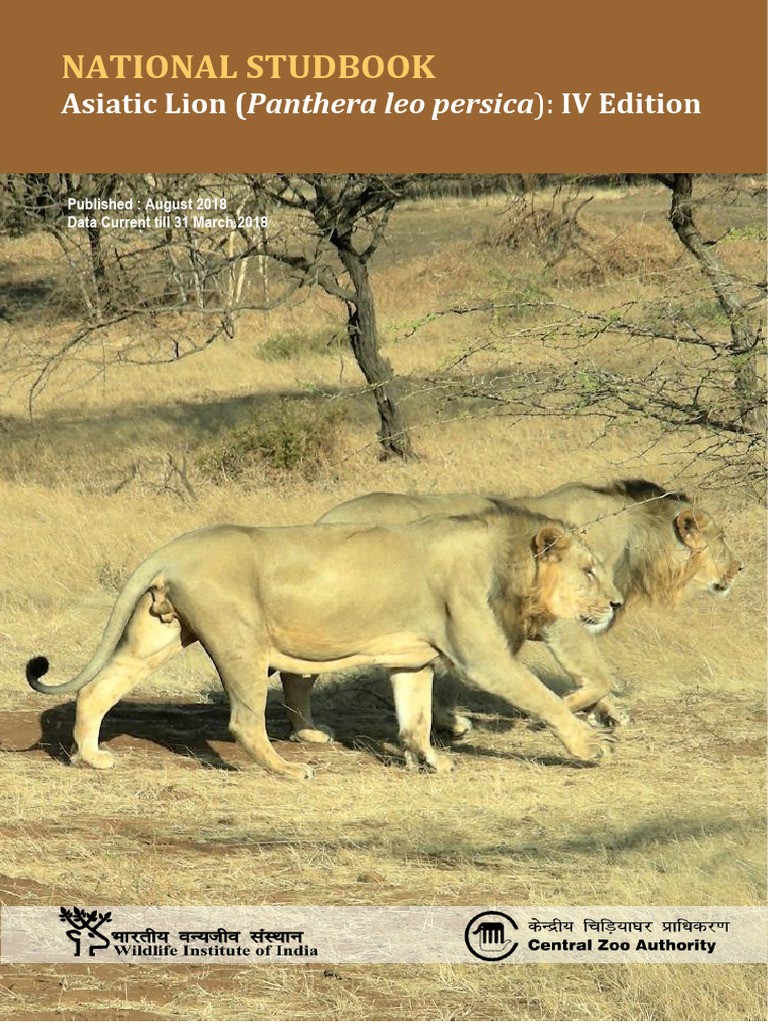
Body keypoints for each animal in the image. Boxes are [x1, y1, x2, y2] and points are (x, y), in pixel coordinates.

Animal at [26, 506, 622, 780]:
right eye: (590, 571)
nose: (617, 603)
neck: (506, 564)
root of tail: (172, 548)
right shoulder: (484, 657)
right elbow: (543, 699)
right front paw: (589, 746)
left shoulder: (412, 661)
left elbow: (414, 719)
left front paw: (430, 760)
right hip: (242, 642)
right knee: (244, 723)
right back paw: (290, 770)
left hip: (157, 635)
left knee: (96, 690)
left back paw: (91, 757)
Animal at [291, 478, 743, 737]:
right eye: (721, 538)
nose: (740, 568)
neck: (634, 541)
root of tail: (321, 521)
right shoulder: (564, 619)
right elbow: (596, 675)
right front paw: (567, 710)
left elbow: (596, 678)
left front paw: (608, 714)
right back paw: (309, 732)